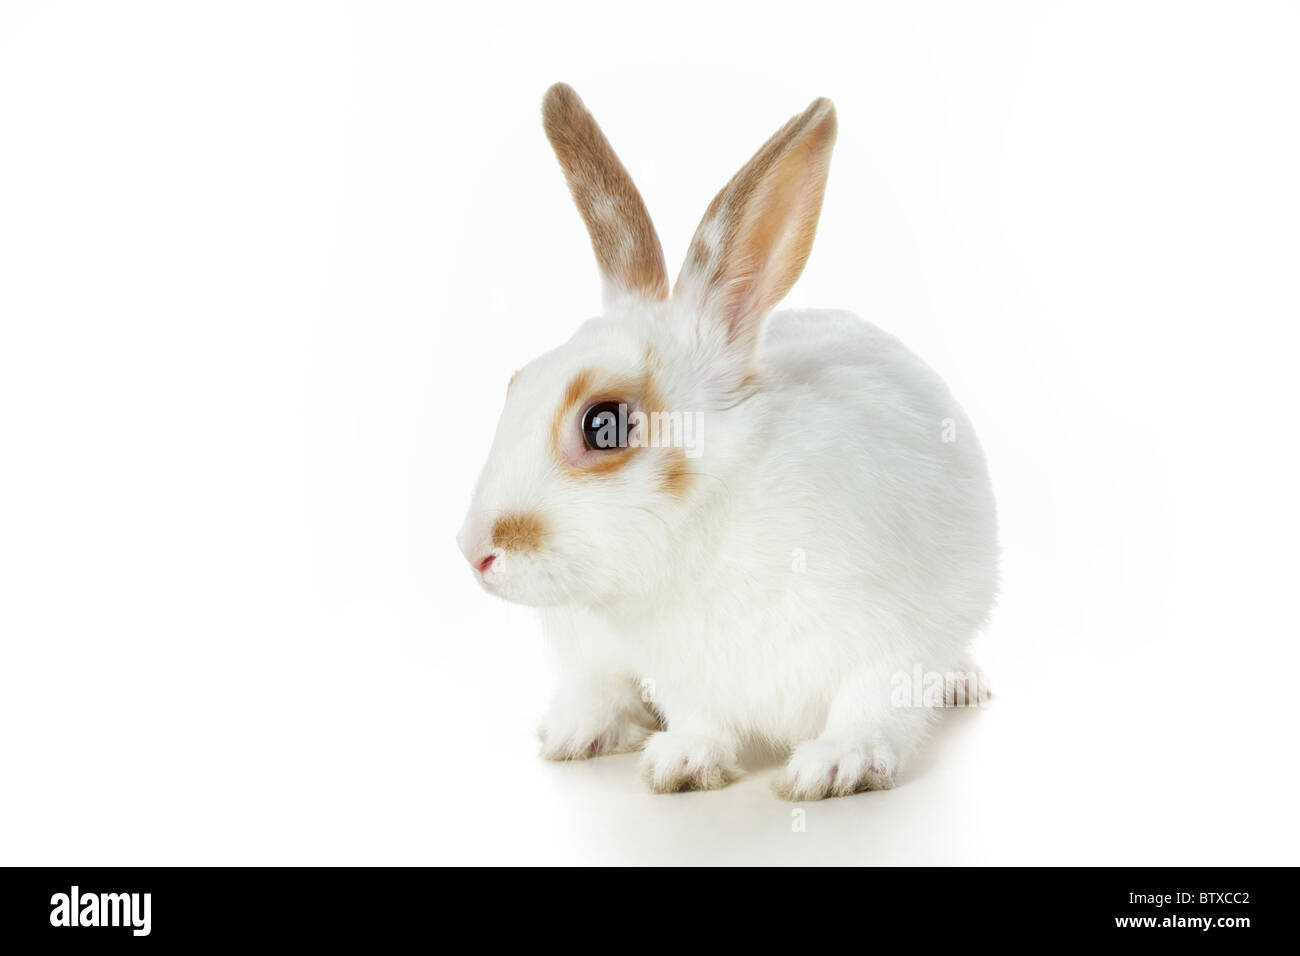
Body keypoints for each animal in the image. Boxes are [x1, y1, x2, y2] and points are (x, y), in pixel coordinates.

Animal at [456, 83, 998, 800]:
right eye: (514, 383)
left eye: (604, 424)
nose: (473, 550)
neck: (708, 532)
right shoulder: (680, 674)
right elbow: (698, 717)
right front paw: (683, 763)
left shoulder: (892, 643)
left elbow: (872, 706)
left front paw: (836, 766)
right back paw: (578, 729)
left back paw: (963, 685)